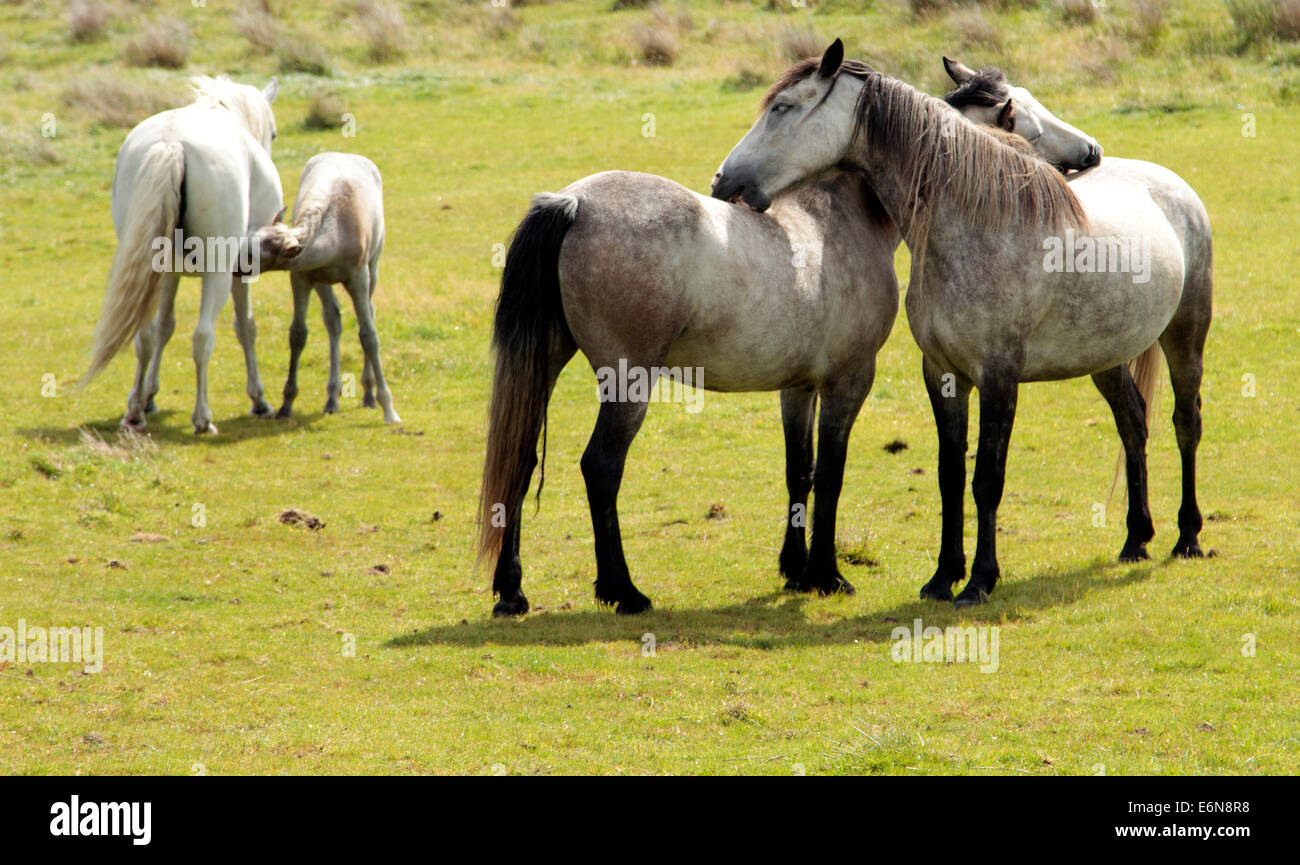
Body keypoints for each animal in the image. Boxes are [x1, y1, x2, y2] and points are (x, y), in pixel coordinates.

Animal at [82, 76, 285, 435]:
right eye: (273, 133)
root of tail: (171, 144)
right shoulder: (241, 269)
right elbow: (245, 327)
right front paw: (259, 400)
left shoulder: (167, 275)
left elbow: (164, 327)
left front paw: (149, 395)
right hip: (217, 275)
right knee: (203, 337)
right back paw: (202, 418)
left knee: (144, 335)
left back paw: (135, 411)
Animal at [247, 152, 400, 424]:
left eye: (253, 254)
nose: (232, 266)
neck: (336, 231)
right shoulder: (301, 276)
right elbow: (298, 334)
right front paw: (286, 404)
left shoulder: (359, 276)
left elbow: (368, 335)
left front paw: (388, 407)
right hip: (322, 281)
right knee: (333, 319)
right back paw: (332, 398)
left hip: (374, 264)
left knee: (369, 312)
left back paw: (368, 394)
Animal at [478, 170, 900, 616]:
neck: (839, 220)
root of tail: (573, 204)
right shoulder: (849, 382)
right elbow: (831, 476)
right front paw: (826, 575)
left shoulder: (799, 388)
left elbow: (800, 471)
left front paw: (796, 568)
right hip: (629, 383)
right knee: (601, 467)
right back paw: (622, 591)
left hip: (546, 367)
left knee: (519, 461)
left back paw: (512, 591)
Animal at [713, 40, 1212, 607]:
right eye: (1023, 115)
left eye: (782, 108)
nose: (723, 180)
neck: (973, 226)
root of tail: (1170, 183)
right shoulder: (943, 373)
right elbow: (950, 474)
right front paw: (943, 576)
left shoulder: (999, 378)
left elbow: (987, 479)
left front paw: (979, 581)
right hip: (1106, 357)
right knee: (1132, 423)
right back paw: (1135, 539)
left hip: (1186, 337)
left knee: (1186, 423)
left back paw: (1188, 537)